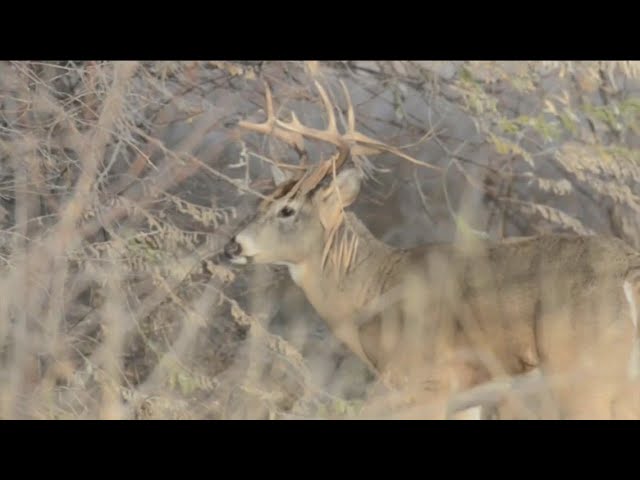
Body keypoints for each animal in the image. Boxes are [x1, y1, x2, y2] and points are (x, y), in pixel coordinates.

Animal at [224, 80, 640, 419]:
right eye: (261, 201)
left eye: (287, 209)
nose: (233, 244)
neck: (371, 290)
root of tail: (628, 271)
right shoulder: (465, 397)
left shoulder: (424, 381)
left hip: (584, 375)